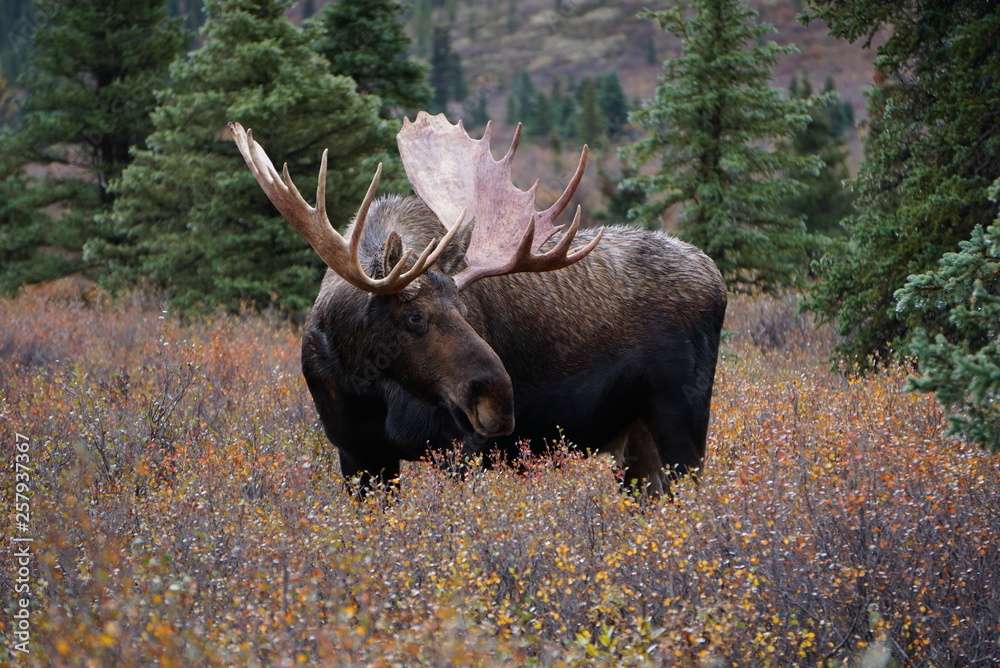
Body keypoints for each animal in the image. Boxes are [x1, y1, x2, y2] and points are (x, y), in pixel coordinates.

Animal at [230, 112, 727, 496]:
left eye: (466, 311)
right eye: (414, 316)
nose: (499, 401)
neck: (364, 383)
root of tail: (716, 276)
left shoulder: (458, 450)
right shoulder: (358, 454)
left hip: (682, 420)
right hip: (634, 441)